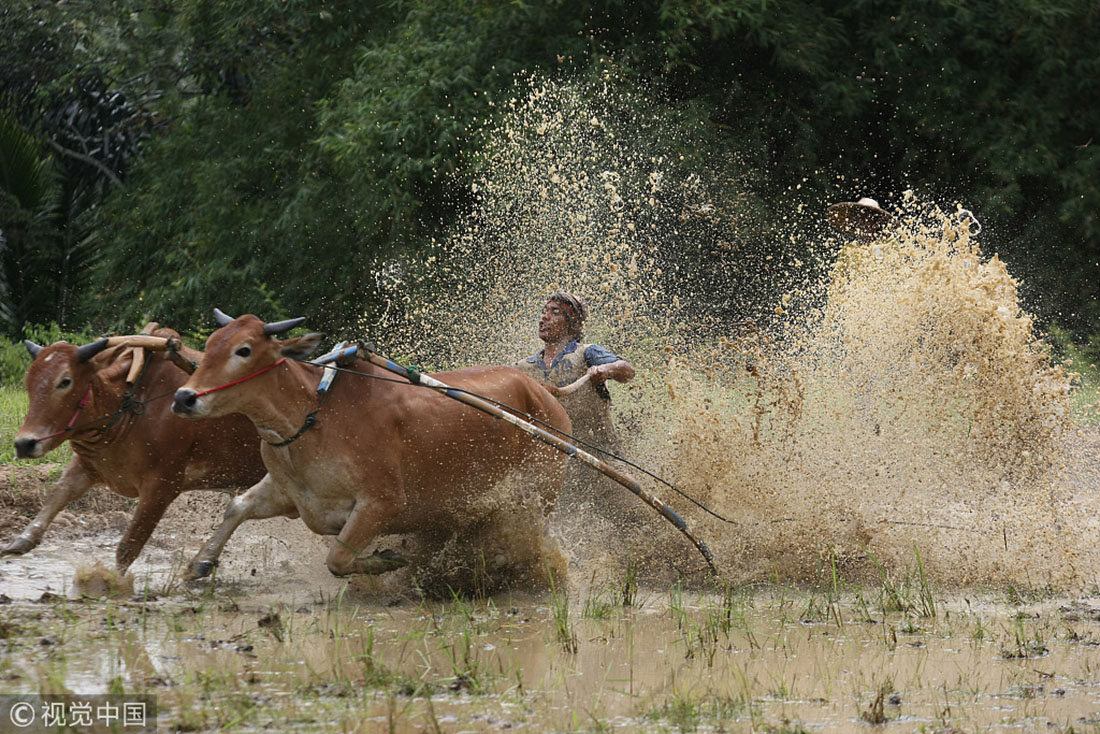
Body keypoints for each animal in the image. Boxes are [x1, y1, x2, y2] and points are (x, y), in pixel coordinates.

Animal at [6, 326, 266, 572]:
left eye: (65, 381)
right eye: (29, 382)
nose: (24, 444)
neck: (130, 404)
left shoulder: (162, 488)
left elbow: (128, 547)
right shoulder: (87, 466)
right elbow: (56, 496)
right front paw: (20, 542)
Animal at [170, 311, 571, 582]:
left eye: (244, 350)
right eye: (210, 345)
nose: (183, 397)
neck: (312, 415)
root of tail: (541, 391)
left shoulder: (381, 502)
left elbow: (336, 560)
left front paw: (389, 560)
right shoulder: (288, 492)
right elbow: (236, 507)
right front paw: (201, 563)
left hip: (539, 496)